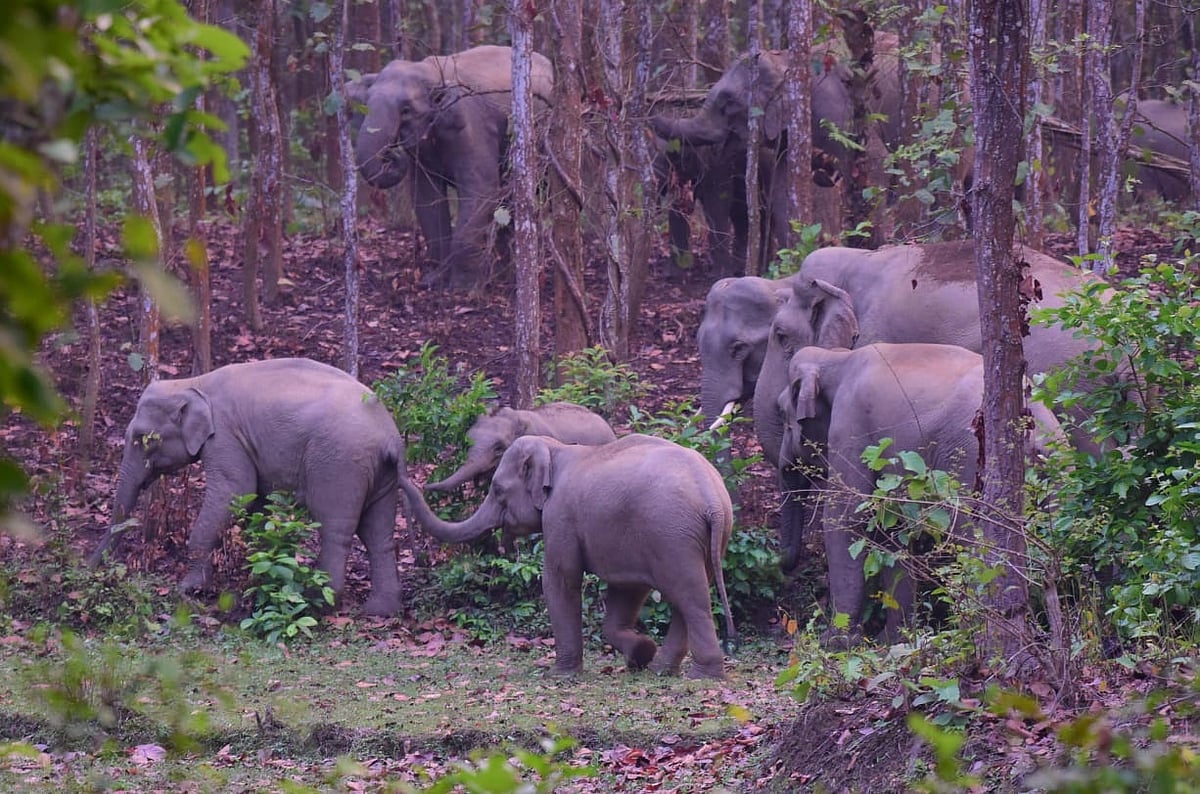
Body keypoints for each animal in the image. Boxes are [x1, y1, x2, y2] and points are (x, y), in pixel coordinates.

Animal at [90, 358, 405, 616]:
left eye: (143, 439)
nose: (89, 566)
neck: (194, 384)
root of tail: (390, 438)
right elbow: (256, 500)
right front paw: (257, 575)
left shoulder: (225, 436)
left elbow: (235, 490)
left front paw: (189, 589)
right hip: (378, 473)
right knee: (377, 533)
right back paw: (378, 611)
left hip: (339, 463)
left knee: (334, 527)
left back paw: (317, 602)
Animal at [352, 45, 554, 289]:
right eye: (366, 103)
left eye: (406, 110)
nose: (393, 151)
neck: (430, 71)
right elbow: (426, 198)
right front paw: (433, 280)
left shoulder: (472, 128)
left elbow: (481, 189)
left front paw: (463, 286)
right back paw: (502, 273)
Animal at [398, 434, 735, 679]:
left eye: (497, 489)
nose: (405, 478)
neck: (555, 448)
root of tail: (711, 497)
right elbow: (626, 589)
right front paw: (640, 654)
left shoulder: (560, 517)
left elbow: (561, 580)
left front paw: (560, 676)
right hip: (702, 539)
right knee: (687, 600)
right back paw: (661, 670)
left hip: (672, 537)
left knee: (691, 600)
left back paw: (703, 676)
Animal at [777, 343, 1063, 646]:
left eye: (782, 414)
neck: (836, 357)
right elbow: (890, 527)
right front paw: (894, 641)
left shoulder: (850, 424)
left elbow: (846, 516)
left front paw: (836, 643)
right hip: (1056, 468)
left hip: (970, 461)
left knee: (973, 540)